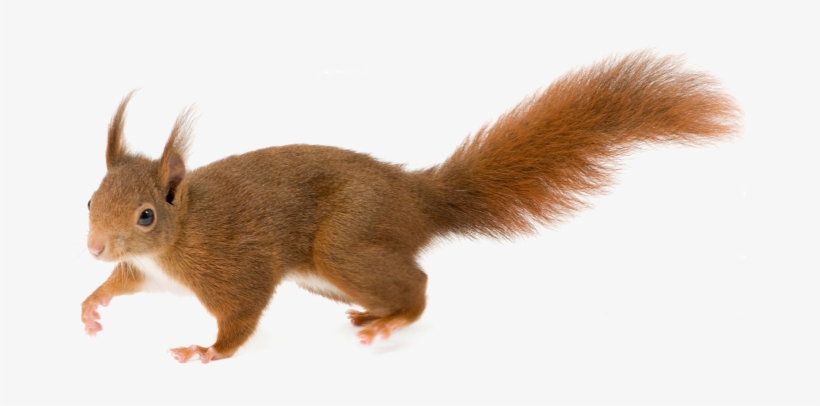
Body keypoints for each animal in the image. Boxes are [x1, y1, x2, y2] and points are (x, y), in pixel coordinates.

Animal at [83, 51, 741, 363]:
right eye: (89, 197)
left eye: (146, 215)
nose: (93, 246)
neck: (179, 234)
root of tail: (418, 198)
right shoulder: (148, 273)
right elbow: (122, 285)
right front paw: (91, 308)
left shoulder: (231, 266)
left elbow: (240, 317)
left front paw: (208, 351)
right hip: (328, 276)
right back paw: (374, 316)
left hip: (344, 246)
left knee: (419, 285)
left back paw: (389, 323)